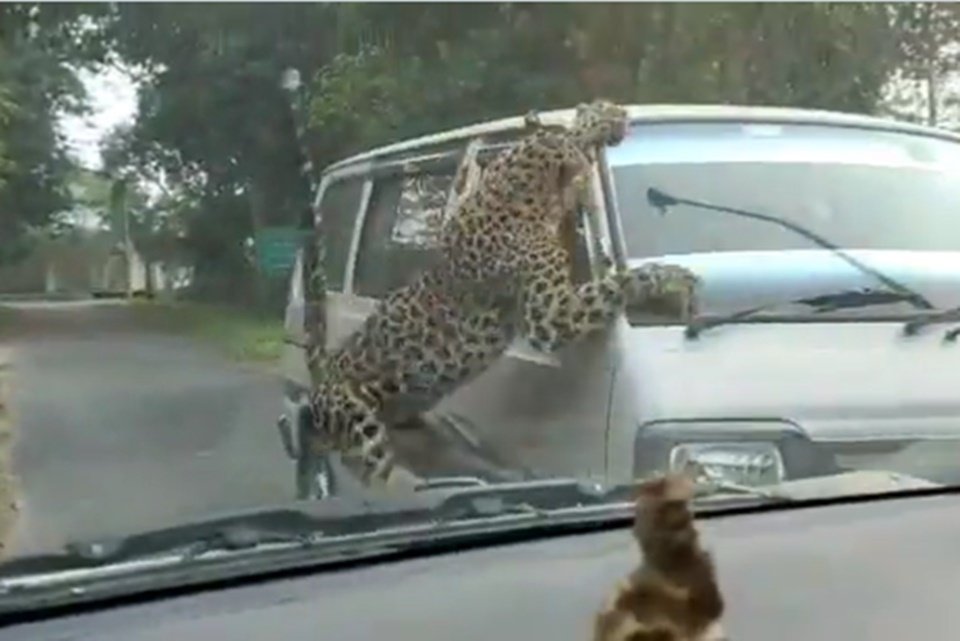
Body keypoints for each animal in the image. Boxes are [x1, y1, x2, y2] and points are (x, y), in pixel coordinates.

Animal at [303, 99, 702, 491]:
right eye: (601, 112)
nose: (619, 112)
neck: (523, 187)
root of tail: (318, 386)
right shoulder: (549, 317)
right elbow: (619, 280)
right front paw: (675, 278)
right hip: (359, 423)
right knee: (372, 471)